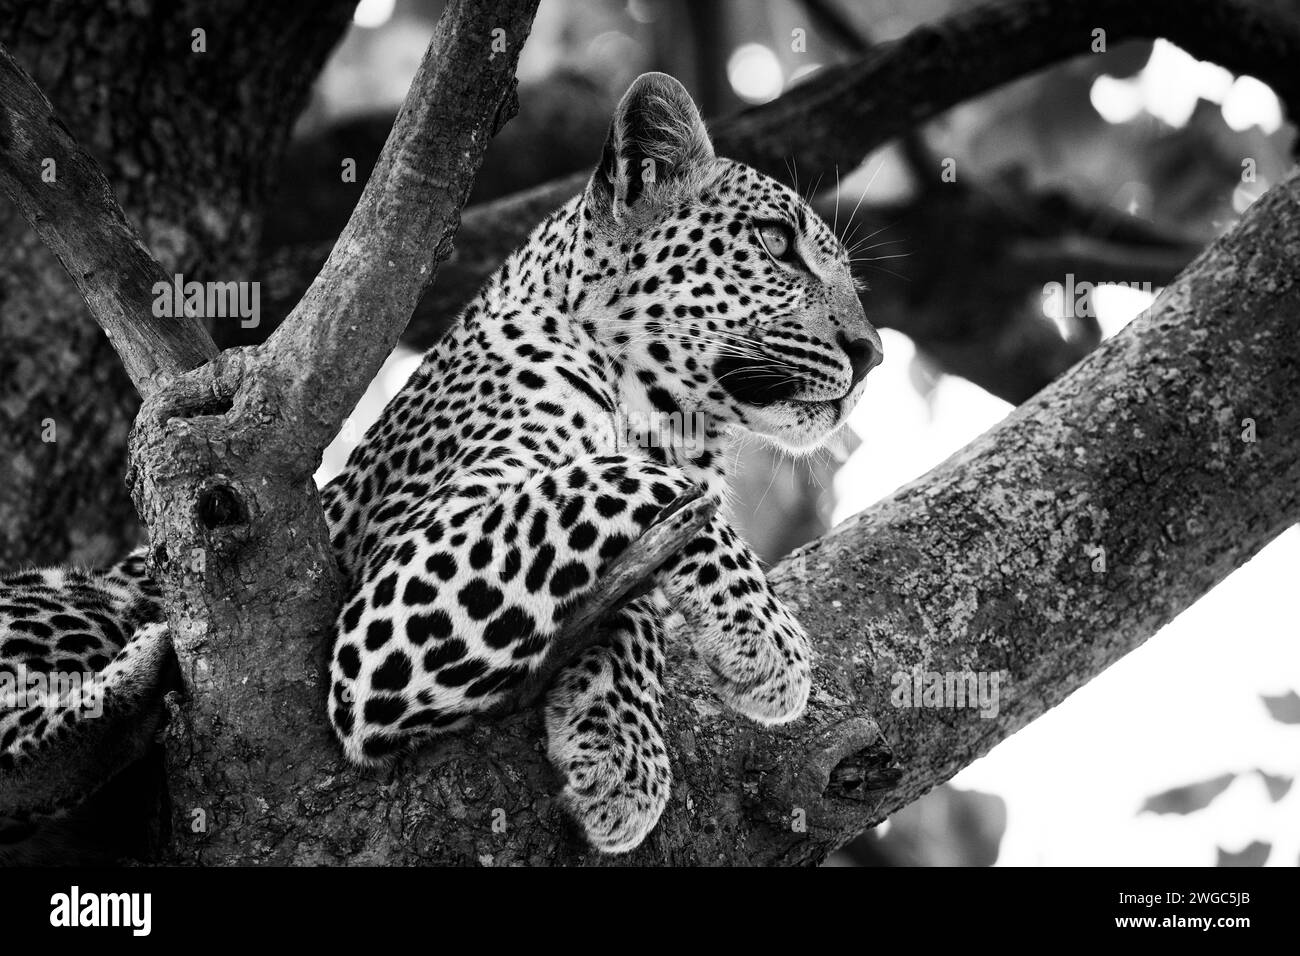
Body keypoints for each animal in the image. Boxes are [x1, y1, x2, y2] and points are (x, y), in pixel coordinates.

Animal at [0, 72, 882, 857]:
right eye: (777, 245)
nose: (871, 353)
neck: (668, 420)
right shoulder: (388, 604)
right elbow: (615, 481)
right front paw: (768, 638)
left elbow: (630, 602)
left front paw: (614, 747)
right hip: (80, 596)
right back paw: (128, 687)